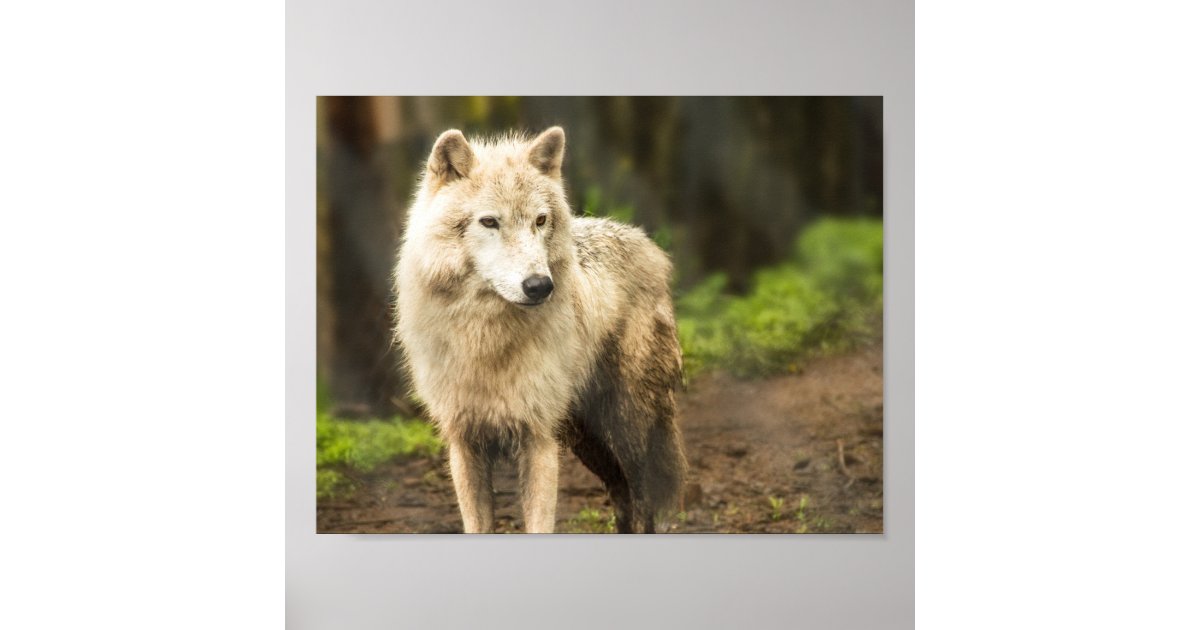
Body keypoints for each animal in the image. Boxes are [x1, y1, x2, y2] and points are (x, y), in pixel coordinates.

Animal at [393, 126, 687, 533]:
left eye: (540, 220)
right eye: (489, 222)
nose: (539, 286)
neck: (484, 339)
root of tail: (649, 246)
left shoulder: (539, 441)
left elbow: (539, 523)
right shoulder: (465, 444)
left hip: (631, 428)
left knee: (646, 504)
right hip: (588, 441)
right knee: (621, 496)